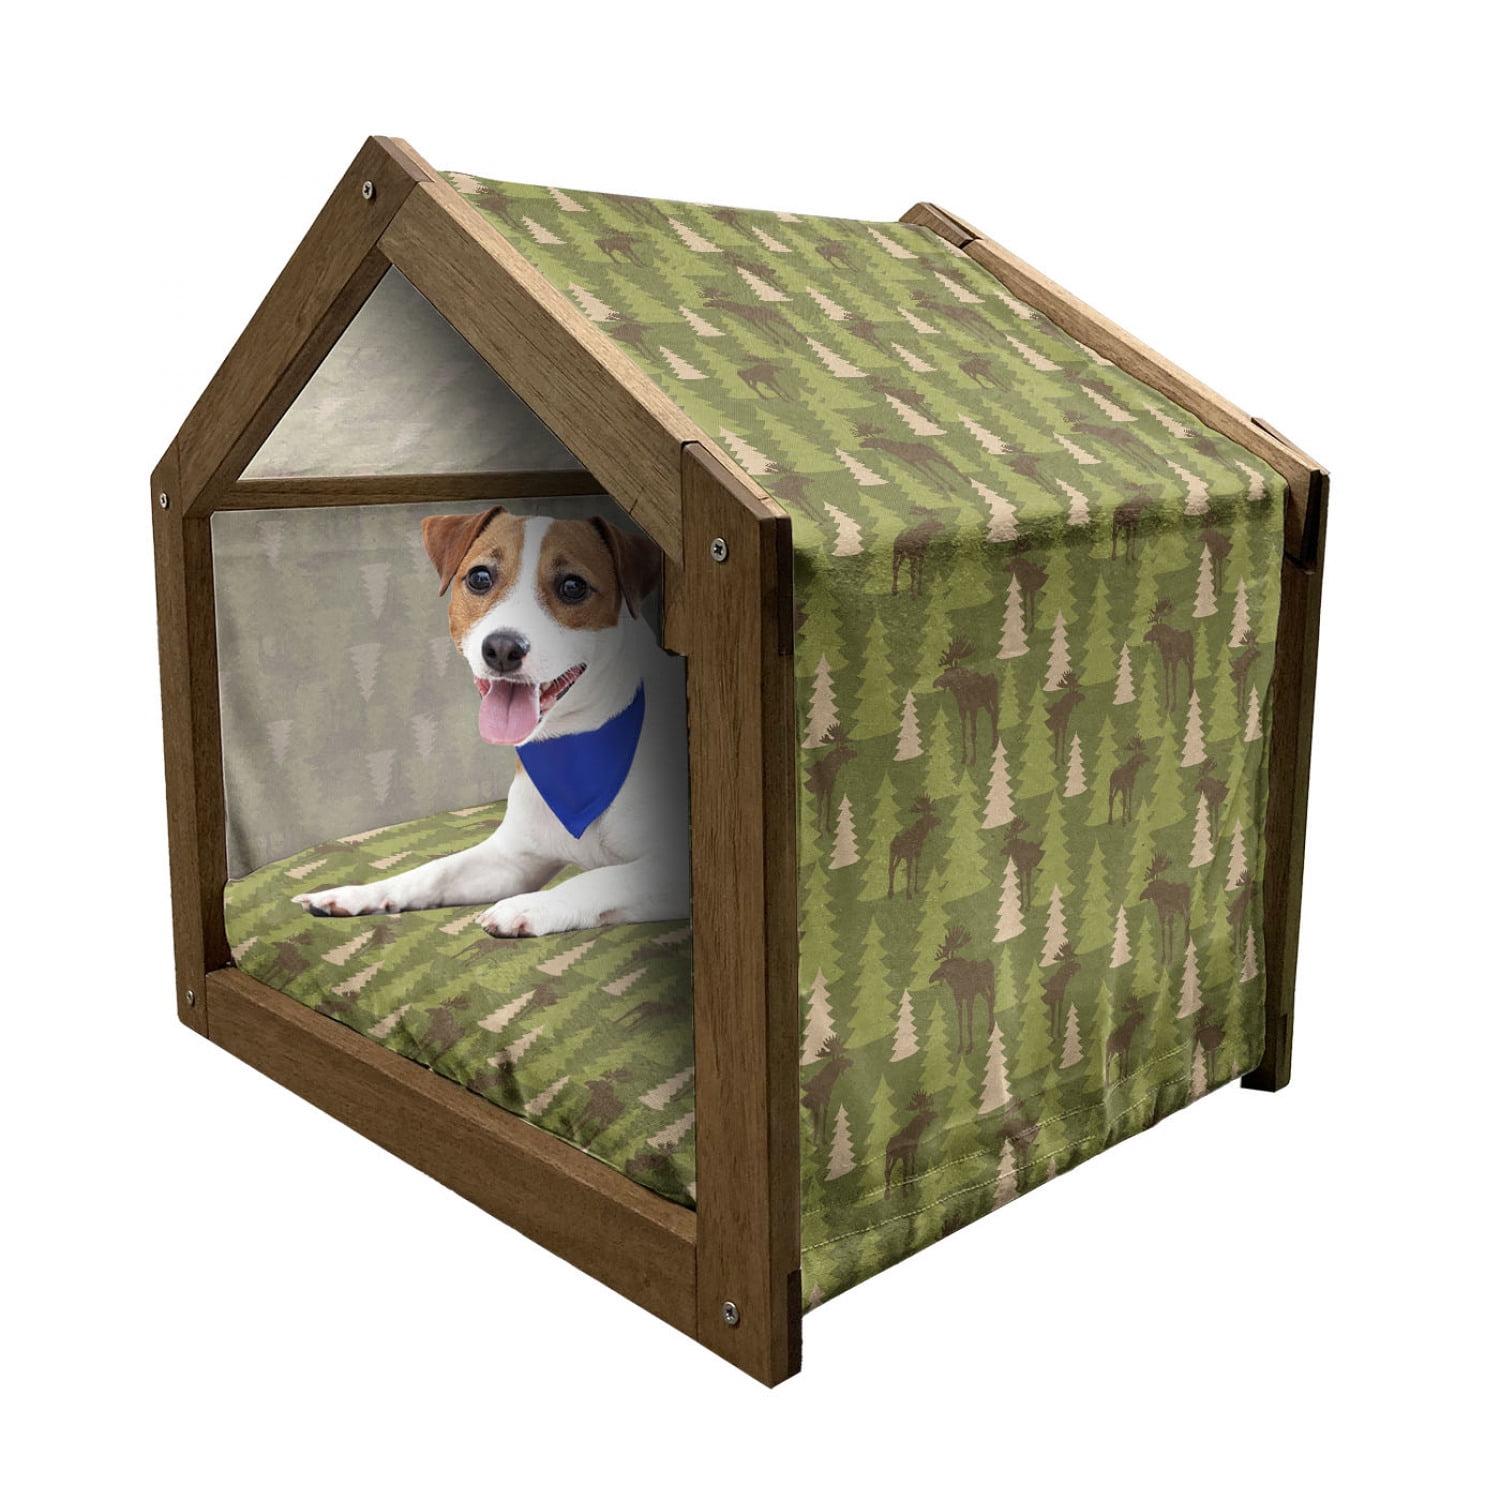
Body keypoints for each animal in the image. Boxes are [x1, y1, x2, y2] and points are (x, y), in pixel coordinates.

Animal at [930, 926, 996, 1057]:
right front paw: (960, 1047)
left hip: (991, 984)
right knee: (988, 1000)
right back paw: (989, 1028)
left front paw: (970, 1047)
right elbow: (960, 1021)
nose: (931, 978)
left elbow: (969, 1021)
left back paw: (991, 1027)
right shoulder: (958, 999)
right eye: (940, 965)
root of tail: (990, 961)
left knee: (992, 999)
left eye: (944, 967)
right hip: (981, 989)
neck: (957, 984)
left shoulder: (970, 997)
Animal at [934, 637, 999, 766]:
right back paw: (992, 744)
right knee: (992, 715)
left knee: (996, 714)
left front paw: (973, 759)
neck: (960, 694)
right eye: (944, 671)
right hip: (985, 703)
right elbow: (963, 731)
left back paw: (995, 744)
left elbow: (973, 733)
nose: (934, 683)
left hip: (993, 698)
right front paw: (964, 757)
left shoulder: (973, 709)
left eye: (950, 674)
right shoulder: (962, 709)